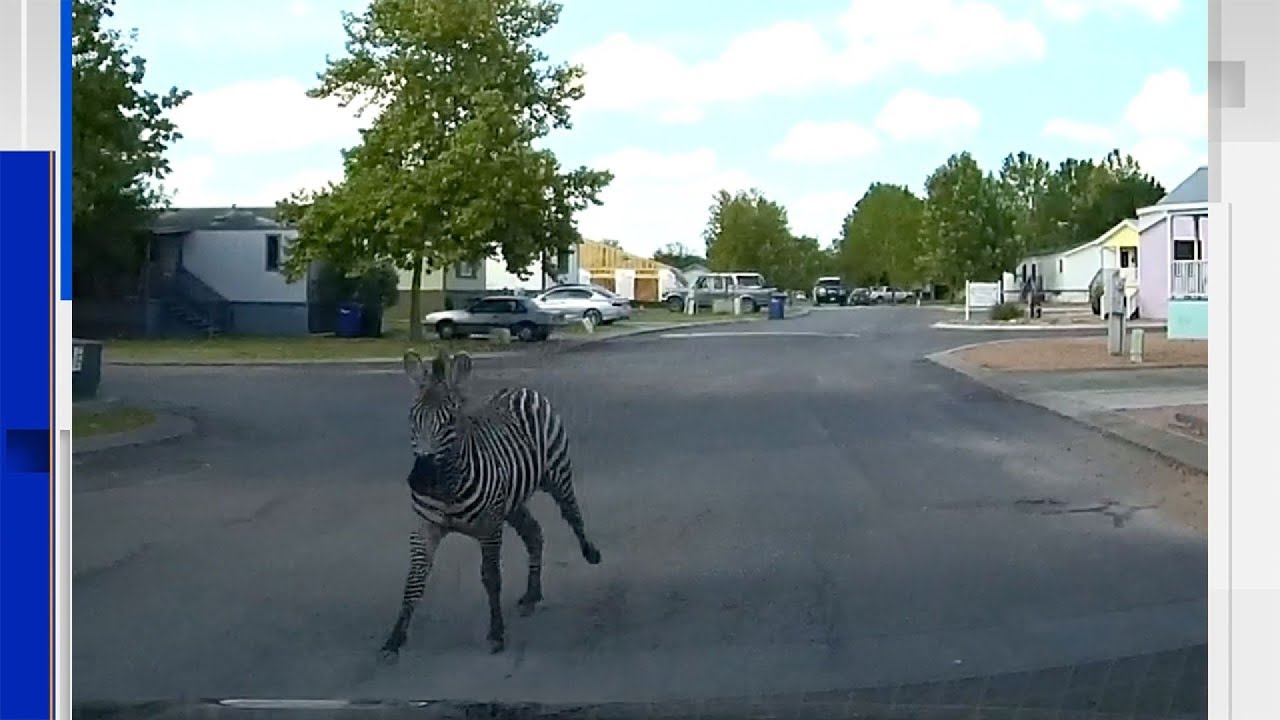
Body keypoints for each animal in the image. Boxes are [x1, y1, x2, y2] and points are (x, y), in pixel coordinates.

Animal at [379, 348, 602, 659]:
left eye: (450, 421)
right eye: (413, 418)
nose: (420, 480)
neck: (448, 487)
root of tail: (519, 389)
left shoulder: (489, 527)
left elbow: (491, 577)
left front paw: (497, 633)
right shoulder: (425, 528)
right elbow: (413, 581)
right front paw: (395, 639)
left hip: (556, 474)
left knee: (571, 513)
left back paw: (590, 552)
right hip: (511, 503)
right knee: (534, 533)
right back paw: (532, 595)